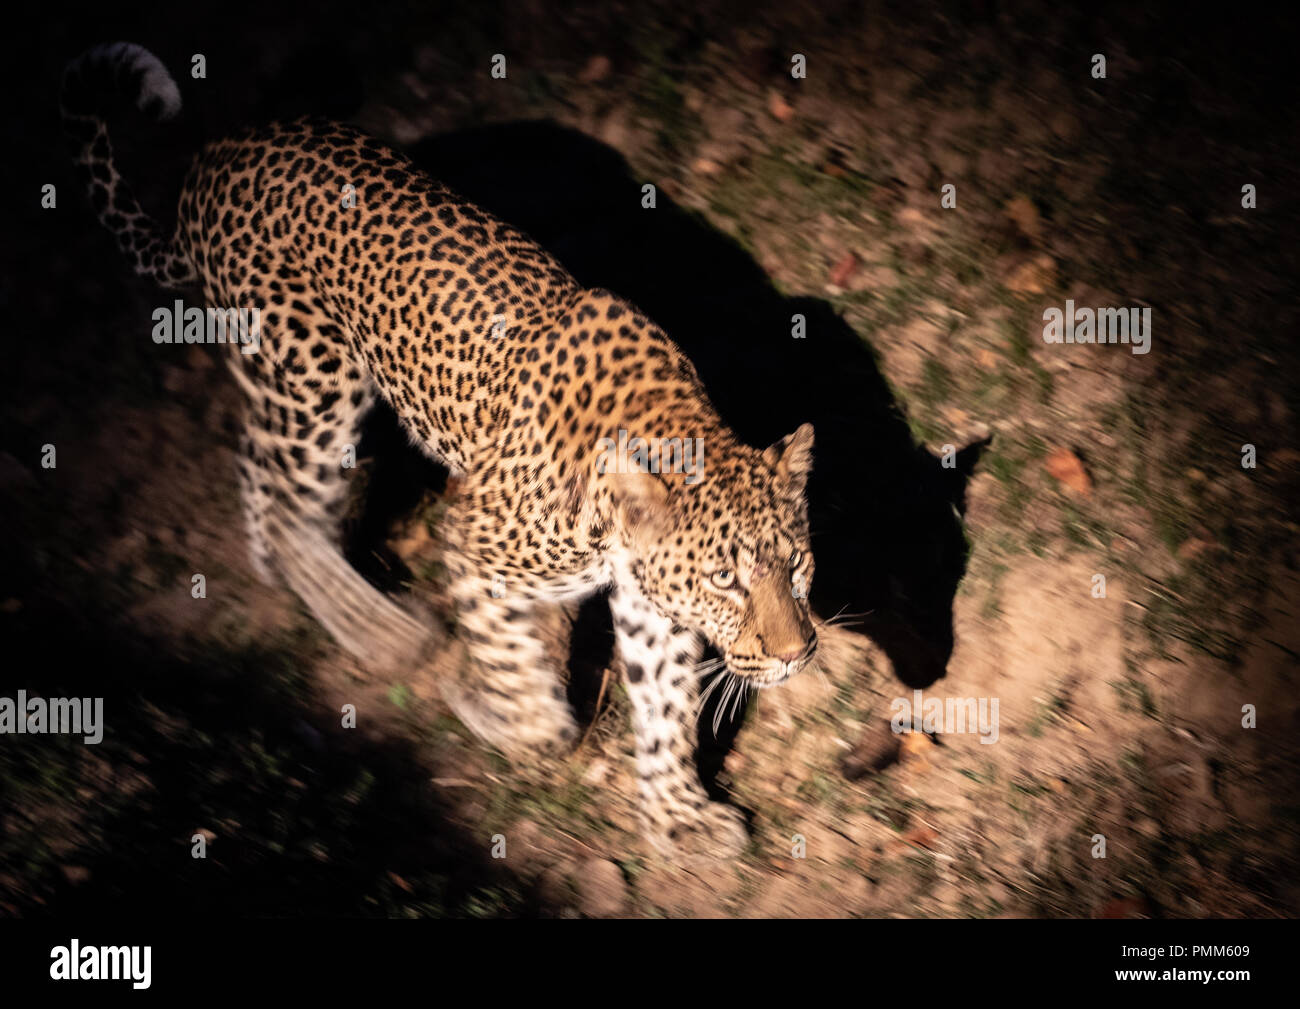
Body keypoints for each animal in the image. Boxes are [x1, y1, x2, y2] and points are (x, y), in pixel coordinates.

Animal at [62, 42, 819, 858]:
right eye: (726, 579)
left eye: (797, 563)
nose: (796, 653)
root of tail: (215, 154)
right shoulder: (473, 538)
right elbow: (515, 669)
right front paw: (509, 717)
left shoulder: (650, 600)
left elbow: (665, 701)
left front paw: (677, 812)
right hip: (317, 376)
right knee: (295, 509)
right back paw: (384, 632)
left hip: (277, 379)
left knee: (257, 466)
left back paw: (278, 571)